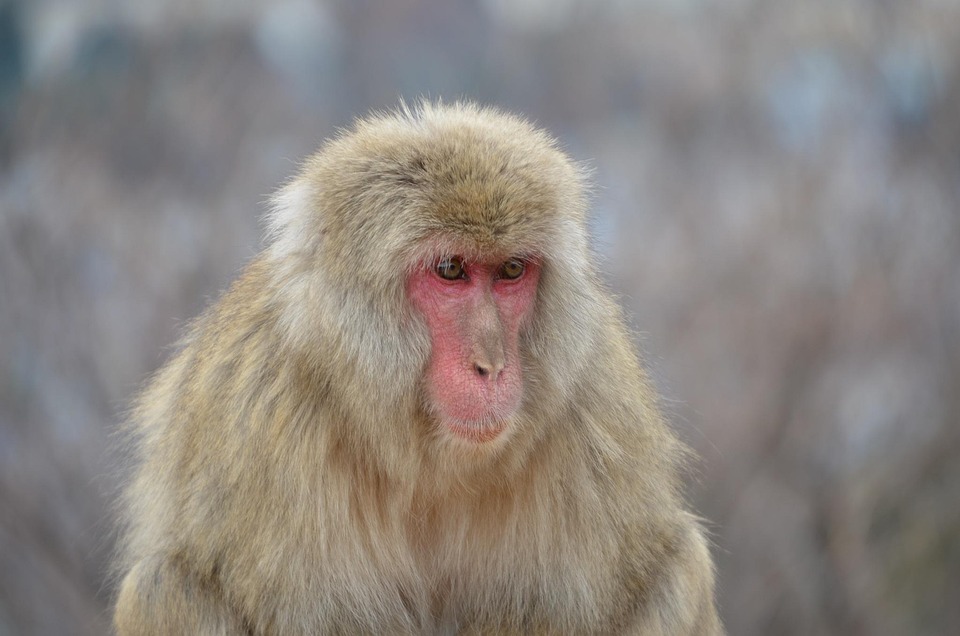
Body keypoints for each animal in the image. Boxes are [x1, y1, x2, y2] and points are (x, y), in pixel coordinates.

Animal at [113, 101, 721, 635]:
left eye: (511, 270)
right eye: (450, 270)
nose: (491, 365)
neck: (427, 455)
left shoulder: (595, 400)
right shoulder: (262, 422)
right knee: (164, 587)